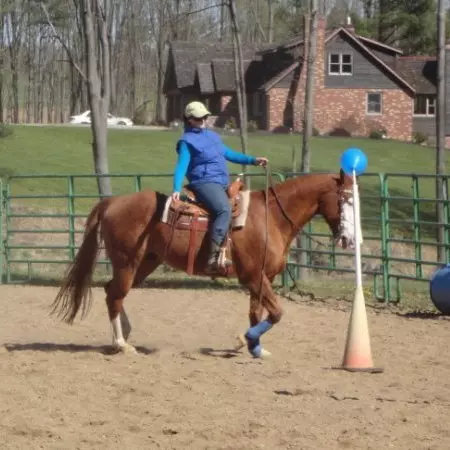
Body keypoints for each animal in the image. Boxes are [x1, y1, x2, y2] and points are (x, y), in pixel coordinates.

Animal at [51, 169, 356, 358]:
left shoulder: (260, 280)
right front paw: (243, 340)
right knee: (115, 295)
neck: (271, 218)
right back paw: (122, 344)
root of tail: (112, 202)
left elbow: (257, 314)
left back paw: (124, 336)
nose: (349, 240)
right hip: (128, 263)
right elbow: (277, 313)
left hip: (144, 264)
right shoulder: (253, 277)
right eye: (347, 200)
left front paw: (255, 347)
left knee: (111, 292)